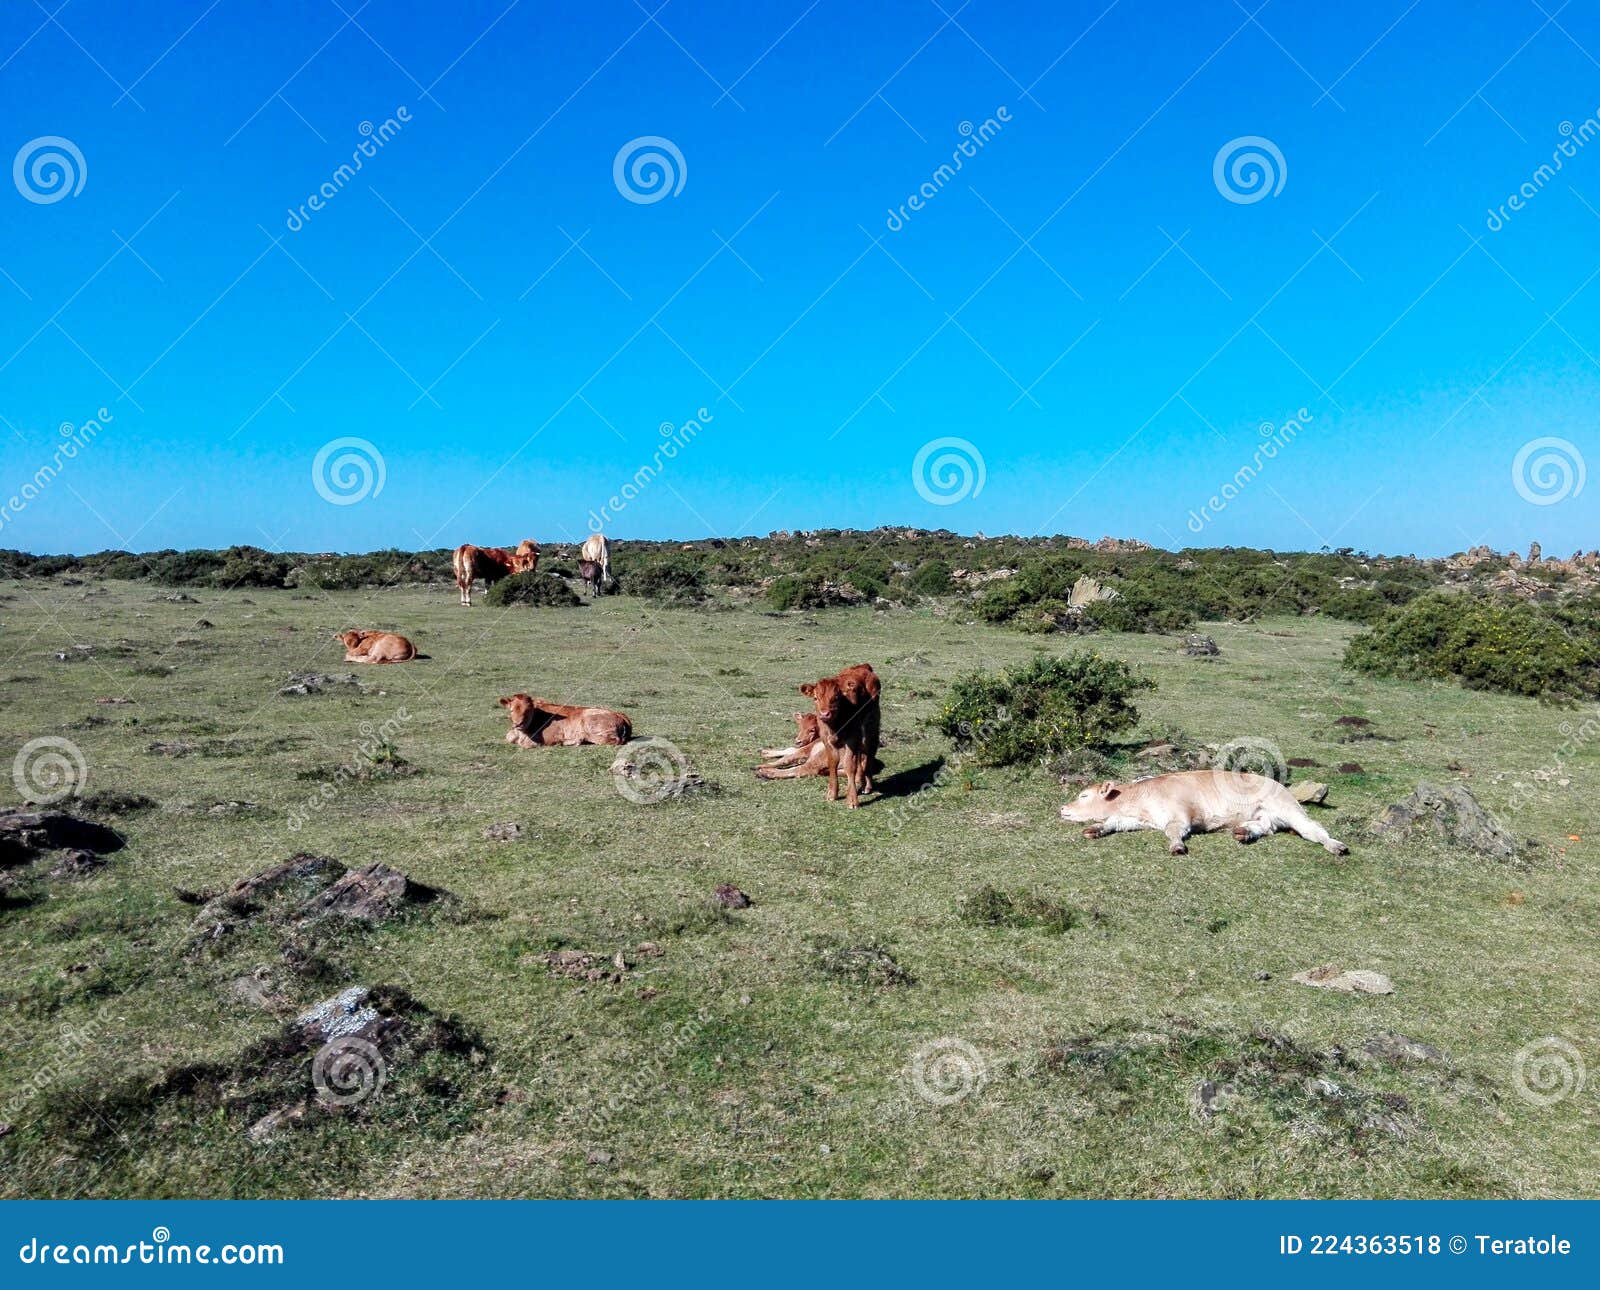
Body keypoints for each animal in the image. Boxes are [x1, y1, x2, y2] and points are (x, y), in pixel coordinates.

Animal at [498, 693, 632, 747]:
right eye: (511, 710)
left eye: (528, 710)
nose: (518, 724)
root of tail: (620, 714)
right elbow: (508, 737)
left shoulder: (549, 737)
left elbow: (526, 744)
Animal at [799, 662, 882, 808]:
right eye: (815, 698)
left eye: (836, 698)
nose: (824, 714)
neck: (835, 727)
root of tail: (862, 667)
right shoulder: (826, 739)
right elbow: (833, 763)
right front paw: (832, 793)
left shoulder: (852, 738)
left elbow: (850, 765)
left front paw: (852, 799)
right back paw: (861, 781)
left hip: (871, 726)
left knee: (869, 752)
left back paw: (868, 785)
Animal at [1059, 770, 1349, 856]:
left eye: (1083, 796)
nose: (1062, 808)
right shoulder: (1140, 819)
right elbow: (1114, 821)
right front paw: (1095, 829)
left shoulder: (1179, 816)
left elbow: (1174, 832)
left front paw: (1177, 847)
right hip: (1262, 815)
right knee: (1264, 827)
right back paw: (1243, 832)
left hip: (1288, 808)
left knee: (1313, 829)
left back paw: (1336, 846)